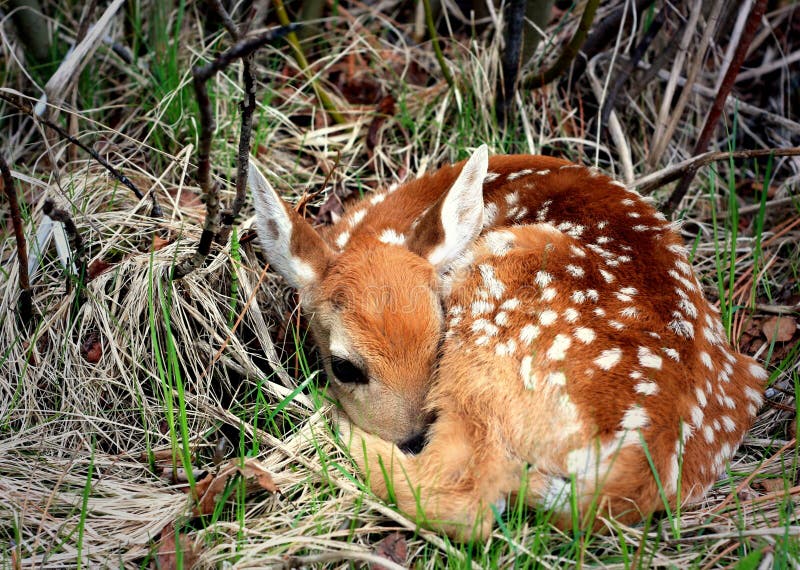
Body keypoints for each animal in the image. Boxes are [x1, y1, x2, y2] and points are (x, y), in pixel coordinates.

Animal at [248, 145, 767, 541]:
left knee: (469, 498)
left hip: (494, 317)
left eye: (436, 347)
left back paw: (335, 427)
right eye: (345, 366)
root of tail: (647, 458)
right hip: (749, 376)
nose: (413, 437)